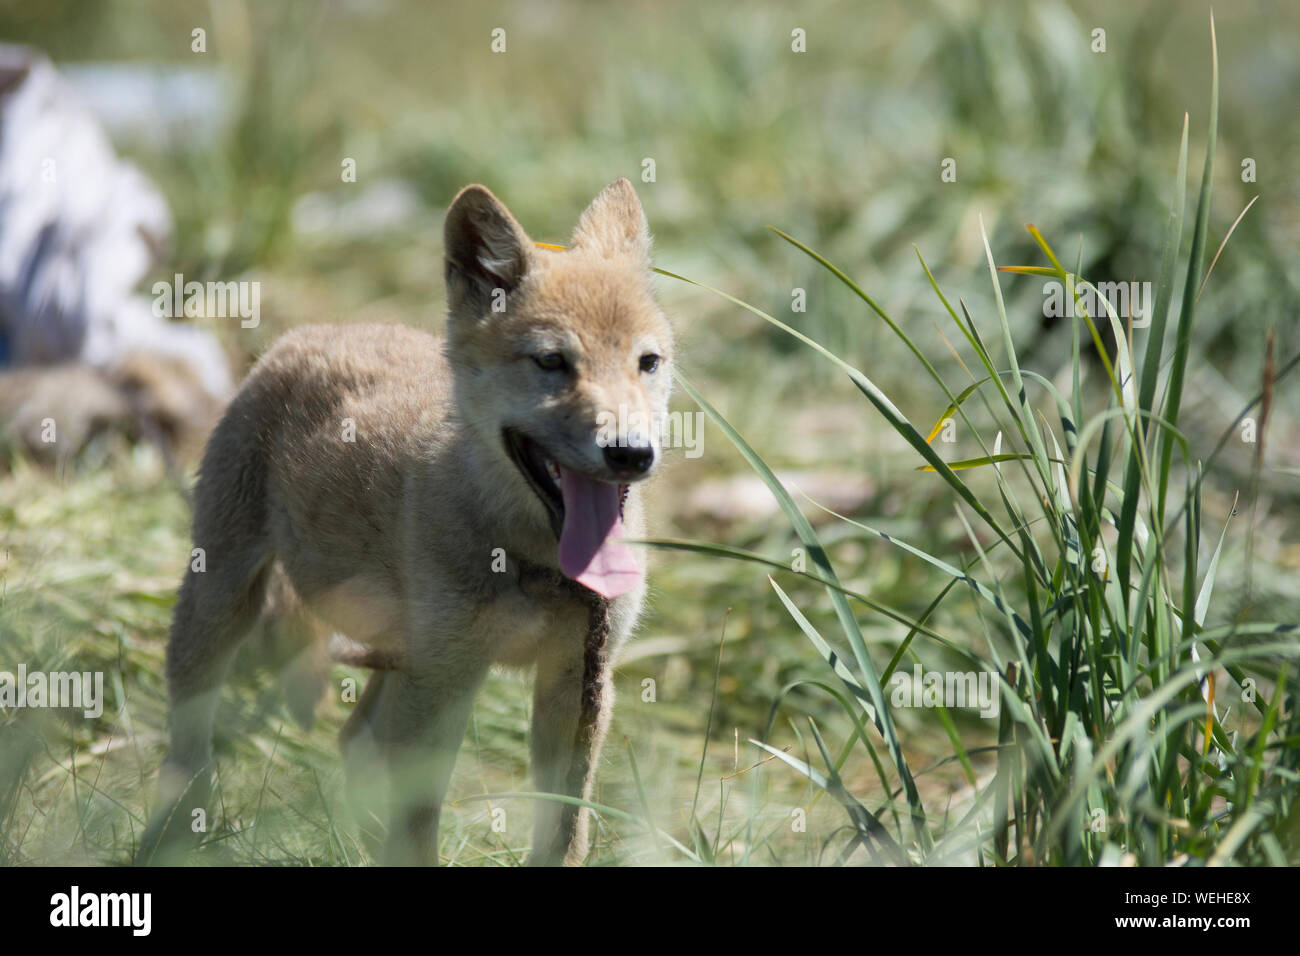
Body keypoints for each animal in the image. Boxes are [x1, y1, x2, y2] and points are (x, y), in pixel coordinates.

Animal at [139, 179, 673, 866]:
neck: (535, 564)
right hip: (223, 604)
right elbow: (418, 828)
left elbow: (565, 832)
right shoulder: (446, 683)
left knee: (354, 738)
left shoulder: (578, 680)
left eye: (647, 363)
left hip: (401, 661)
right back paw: (179, 829)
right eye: (553, 361)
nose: (631, 453)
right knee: (192, 745)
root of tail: (314, 334)